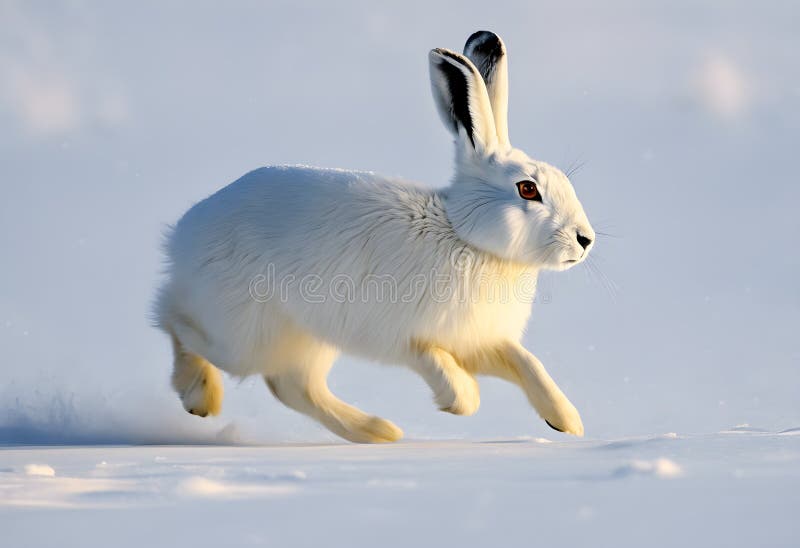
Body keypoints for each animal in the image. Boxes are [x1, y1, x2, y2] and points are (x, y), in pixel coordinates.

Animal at [154, 30, 595, 443]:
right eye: (527, 190)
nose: (585, 240)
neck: (465, 235)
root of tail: (186, 230)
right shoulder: (408, 338)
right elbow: (442, 368)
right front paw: (459, 400)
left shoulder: (477, 340)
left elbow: (527, 362)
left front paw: (567, 422)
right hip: (242, 332)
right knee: (174, 320)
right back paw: (200, 395)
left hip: (305, 339)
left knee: (293, 386)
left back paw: (378, 431)